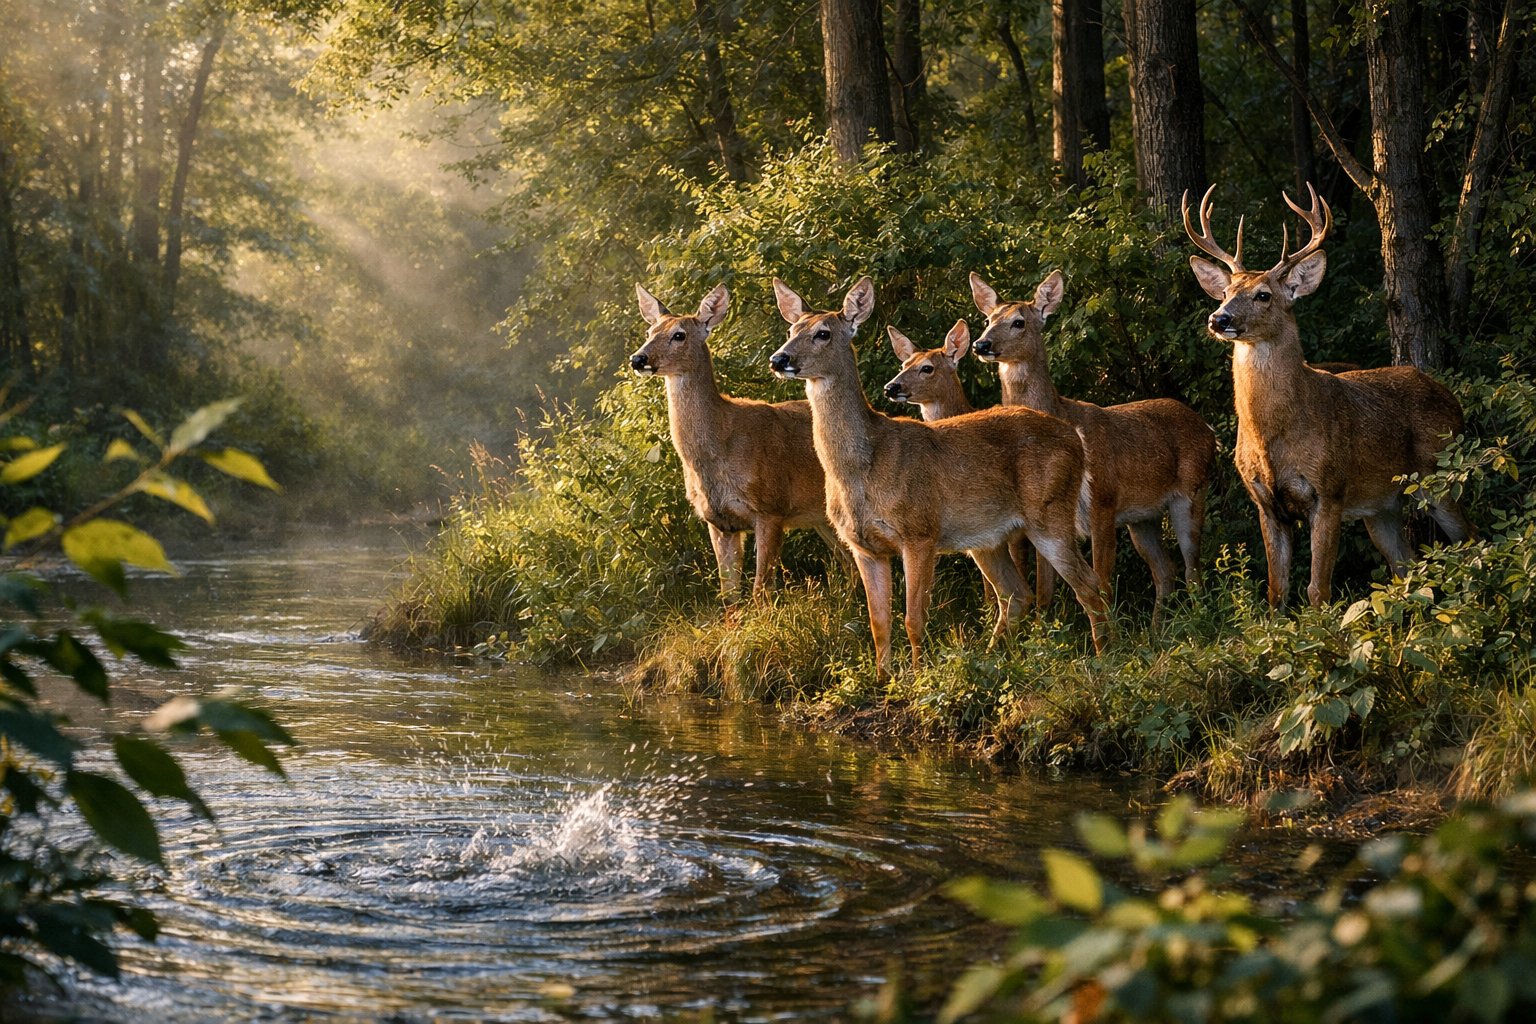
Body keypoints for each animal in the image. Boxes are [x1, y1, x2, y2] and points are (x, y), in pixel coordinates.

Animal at [632, 282, 841, 602]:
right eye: (649, 332)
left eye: (679, 334)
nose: (638, 359)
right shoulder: (719, 522)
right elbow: (728, 596)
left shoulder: (771, 508)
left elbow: (759, 591)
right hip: (821, 518)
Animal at [768, 276, 1109, 679]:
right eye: (791, 330)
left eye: (823, 333)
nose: (779, 359)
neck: (860, 470)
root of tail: (1075, 438)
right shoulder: (864, 547)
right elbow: (878, 624)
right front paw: (882, 680)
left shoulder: (920, 533)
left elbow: (914, 619)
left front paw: (917, 679)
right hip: (987, 537)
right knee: (1017, 594)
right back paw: (991, 657)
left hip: (1050, 512)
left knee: (1089, 585)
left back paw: (1107, 656)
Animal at [968, 270, 1216, 628]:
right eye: (988, 319)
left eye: (1019, 322)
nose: (981, 344)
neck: (1062, 414)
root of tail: (1207, 428)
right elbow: (1045, 589)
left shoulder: (1102, 503)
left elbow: (1104, 581)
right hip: (1142, 517)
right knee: (1165, 570)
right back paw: (1157, 631)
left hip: (1192, 493)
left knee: (1192, 568)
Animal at [1182, 182, 1475, 608]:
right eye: (1225, 292)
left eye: (1264, 295)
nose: (1219, 319)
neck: (1273, 436)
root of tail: (1451, 398)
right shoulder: (1265, 503)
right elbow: (1276, 590)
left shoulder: (1329, 491)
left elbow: (1317, 590)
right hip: (1382, 506)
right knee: (1405, 564)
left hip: (1439, 472)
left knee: (1470, 537)